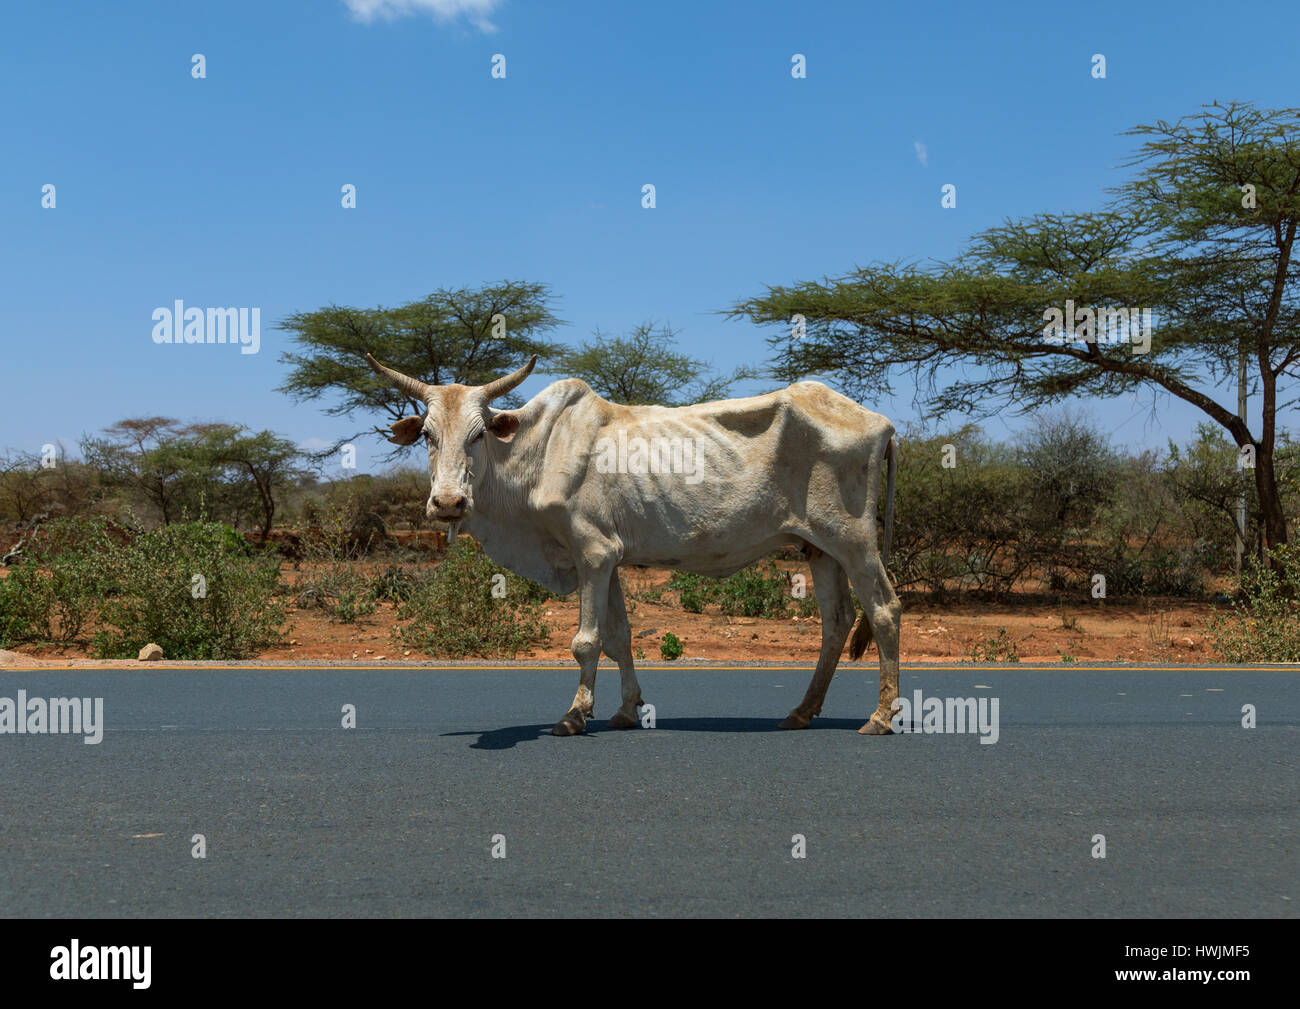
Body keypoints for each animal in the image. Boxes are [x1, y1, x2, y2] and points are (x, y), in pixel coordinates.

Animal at [365, 352, 902, 737]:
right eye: (428, 435)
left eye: (478, 435)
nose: (448, 502)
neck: (537, 454)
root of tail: (881, 422)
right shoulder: (608, 559)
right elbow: (619, 637)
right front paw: (625, 710)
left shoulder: (592, 553)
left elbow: (586, 641)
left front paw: (574, 716)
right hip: (819, 548)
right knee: (837, 622)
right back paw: (802, 712)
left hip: (854, 542)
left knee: (884, 611)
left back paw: (879, 717)